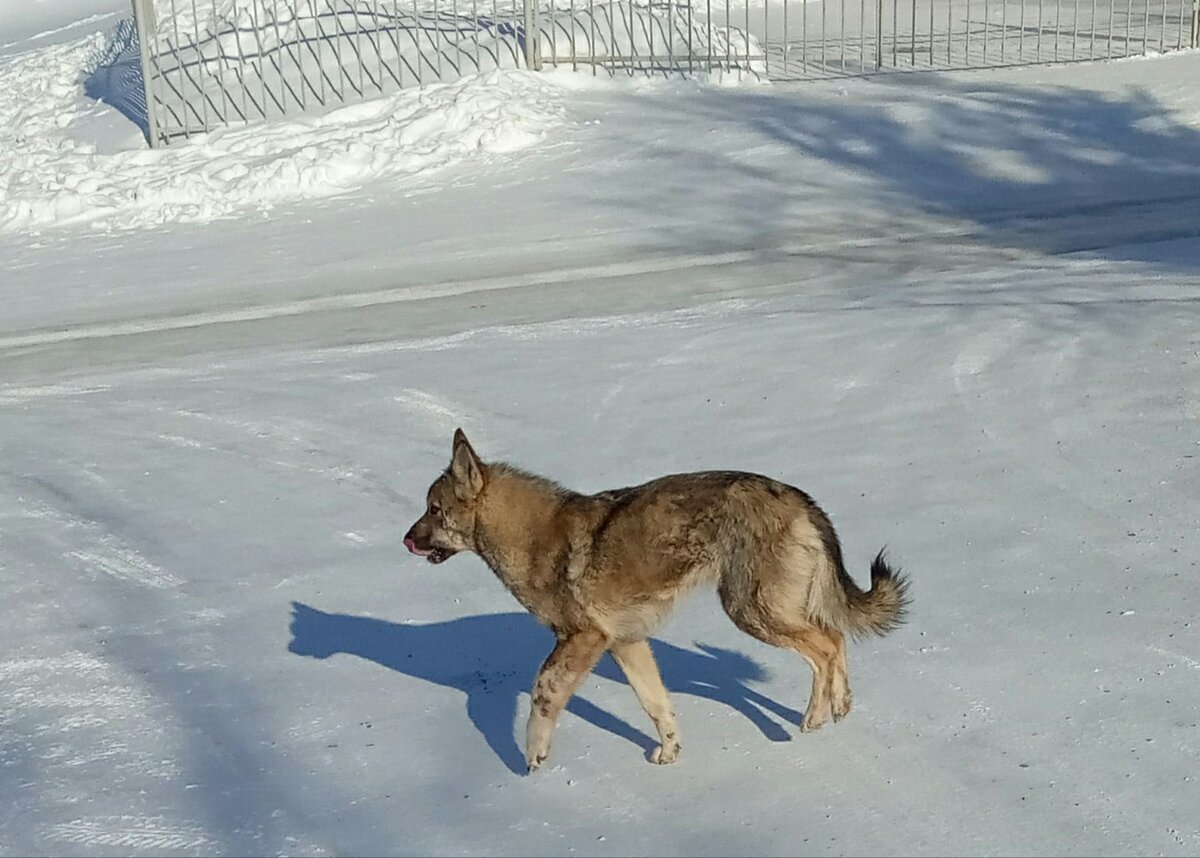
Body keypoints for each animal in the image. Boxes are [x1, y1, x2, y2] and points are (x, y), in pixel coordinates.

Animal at [403, 429, 907, 772]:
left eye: (433, 510)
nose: (405, 540)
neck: (529, 539)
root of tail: (799, 498)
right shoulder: (626, 643)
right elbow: (656, 705)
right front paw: (670, 751)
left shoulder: (583, 638)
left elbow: (543, 695)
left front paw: (533, 758)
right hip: (768, 610)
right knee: (835, 637)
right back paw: (840, 706)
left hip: (751, 611)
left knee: (826, 646)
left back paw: (815, 716)